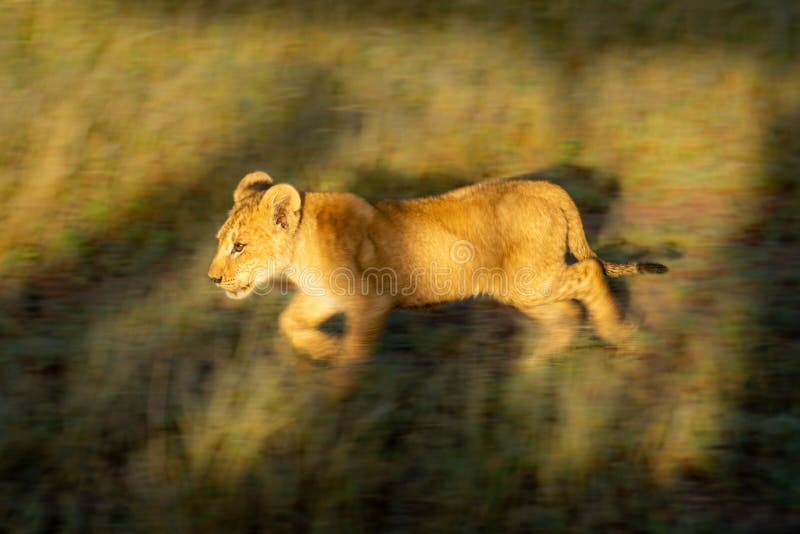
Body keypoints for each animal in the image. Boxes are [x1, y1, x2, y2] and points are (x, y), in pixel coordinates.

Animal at [208, 171, 667, 374]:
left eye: (239, 246)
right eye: (220, 240)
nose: (213, 278)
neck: (300, 249)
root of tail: (546, 186)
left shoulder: (371, 301)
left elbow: (355, 352)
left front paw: (343, 386)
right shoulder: (324, 297)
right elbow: (289, 322)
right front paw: (324, 350)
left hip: (529, 281)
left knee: (589, 272)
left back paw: (620, 336)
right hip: (522, 290)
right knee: (567, 313)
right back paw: (532, 368)